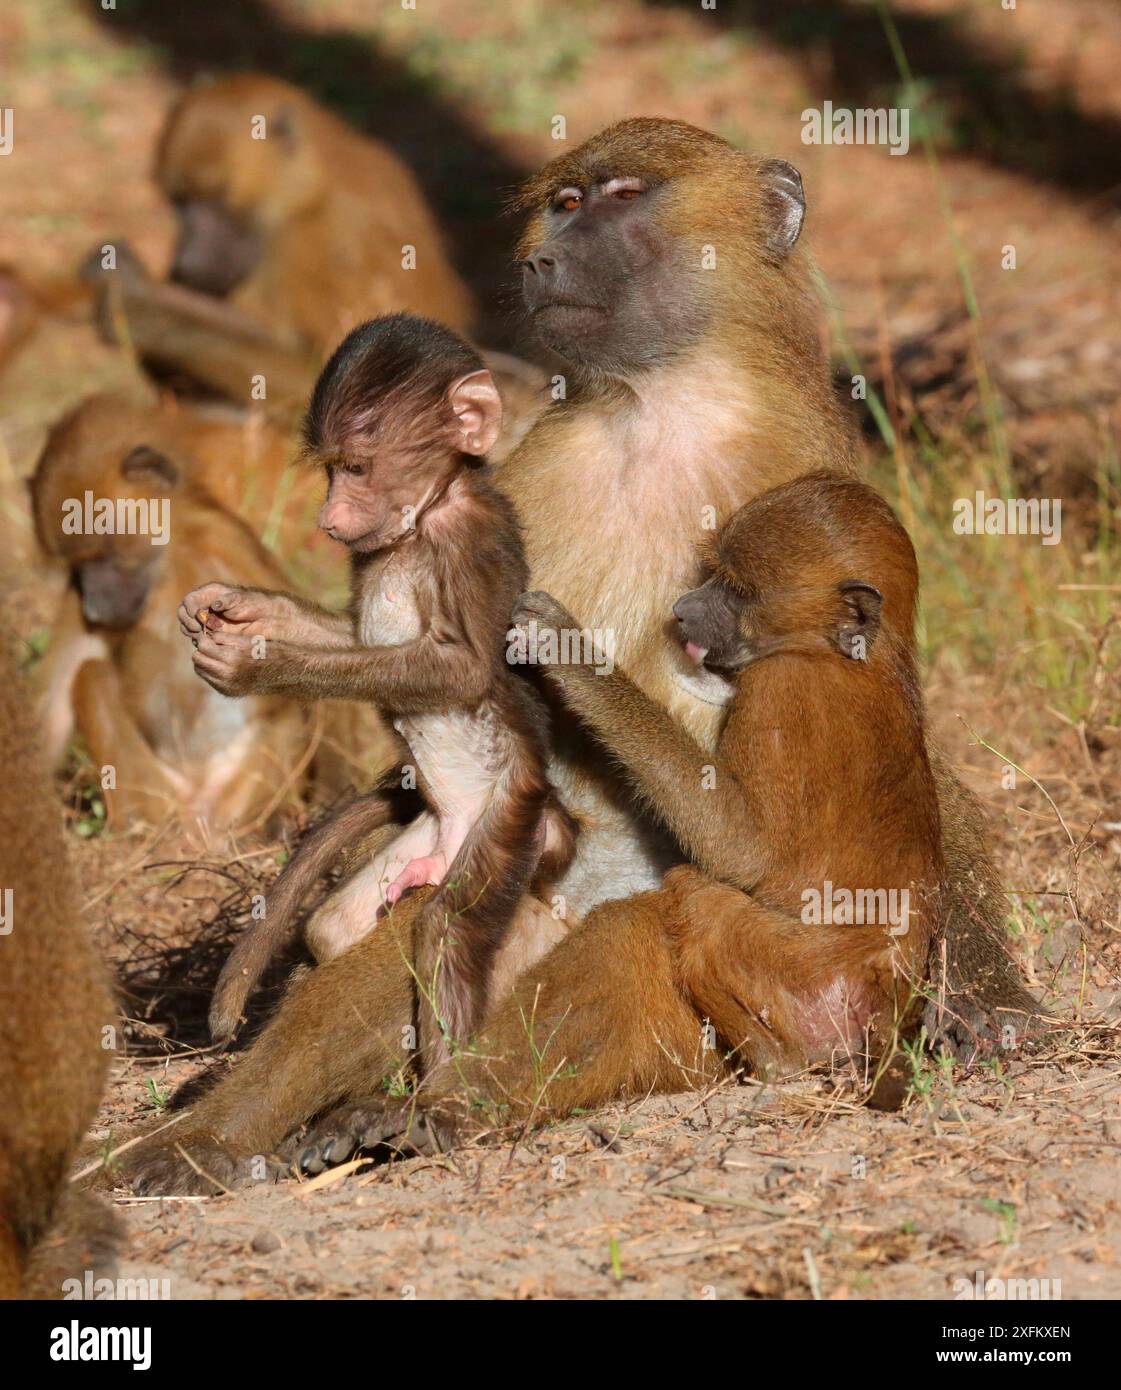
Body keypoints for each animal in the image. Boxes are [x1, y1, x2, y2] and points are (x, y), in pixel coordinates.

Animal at [185, 313, 577, 1066]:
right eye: (331, 468)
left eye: (359, 468)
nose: (328, 517)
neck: (420, 523)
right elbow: (354, 636)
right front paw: (240, 609)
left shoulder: (467, 537)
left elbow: (465, 669)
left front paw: (255, 664)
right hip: (425, 834)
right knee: (336, 924)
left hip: (512, 812)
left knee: (448, 928)